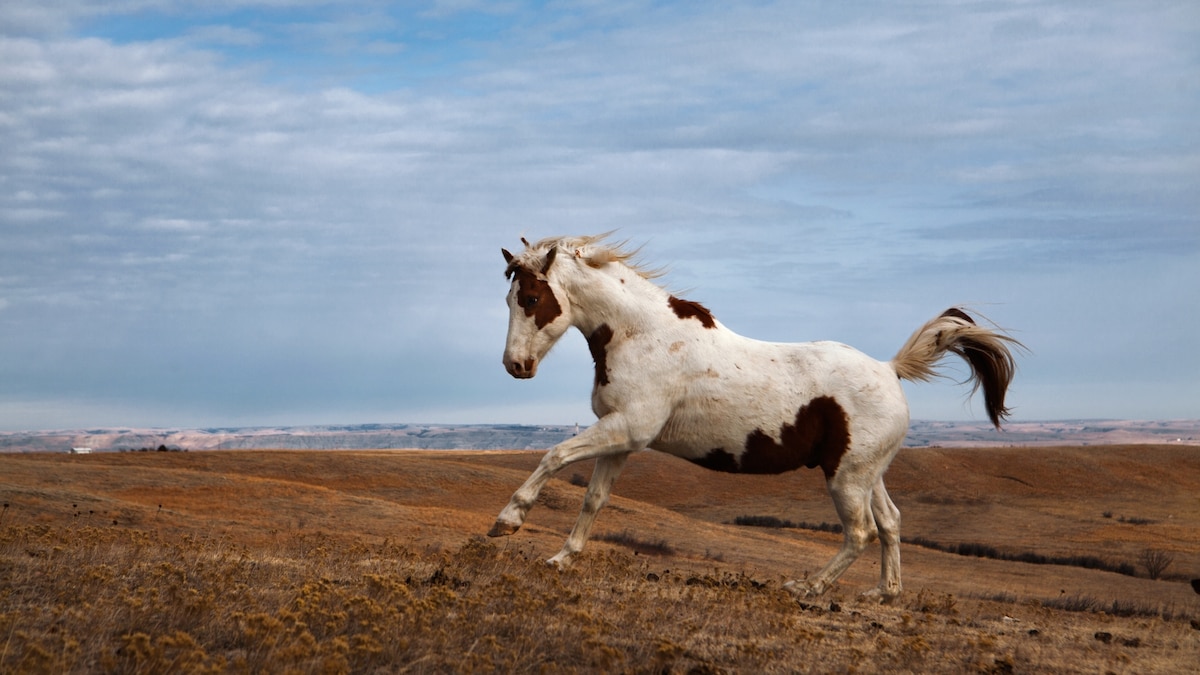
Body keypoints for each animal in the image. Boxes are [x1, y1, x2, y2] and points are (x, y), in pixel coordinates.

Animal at [488, 234, 1020, 602]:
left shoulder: (626, 429)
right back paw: (883, 594)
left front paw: (507, 521)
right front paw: (562, 559)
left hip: (846, 478)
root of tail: (890, 370)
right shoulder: (620, 438)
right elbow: (594, 500)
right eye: (509, 299)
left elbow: (555, 455)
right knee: (890, 522)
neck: (642, 336)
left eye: (532, 299)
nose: (515, 366)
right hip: (867, 471)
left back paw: (806, 589)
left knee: (861, 532)